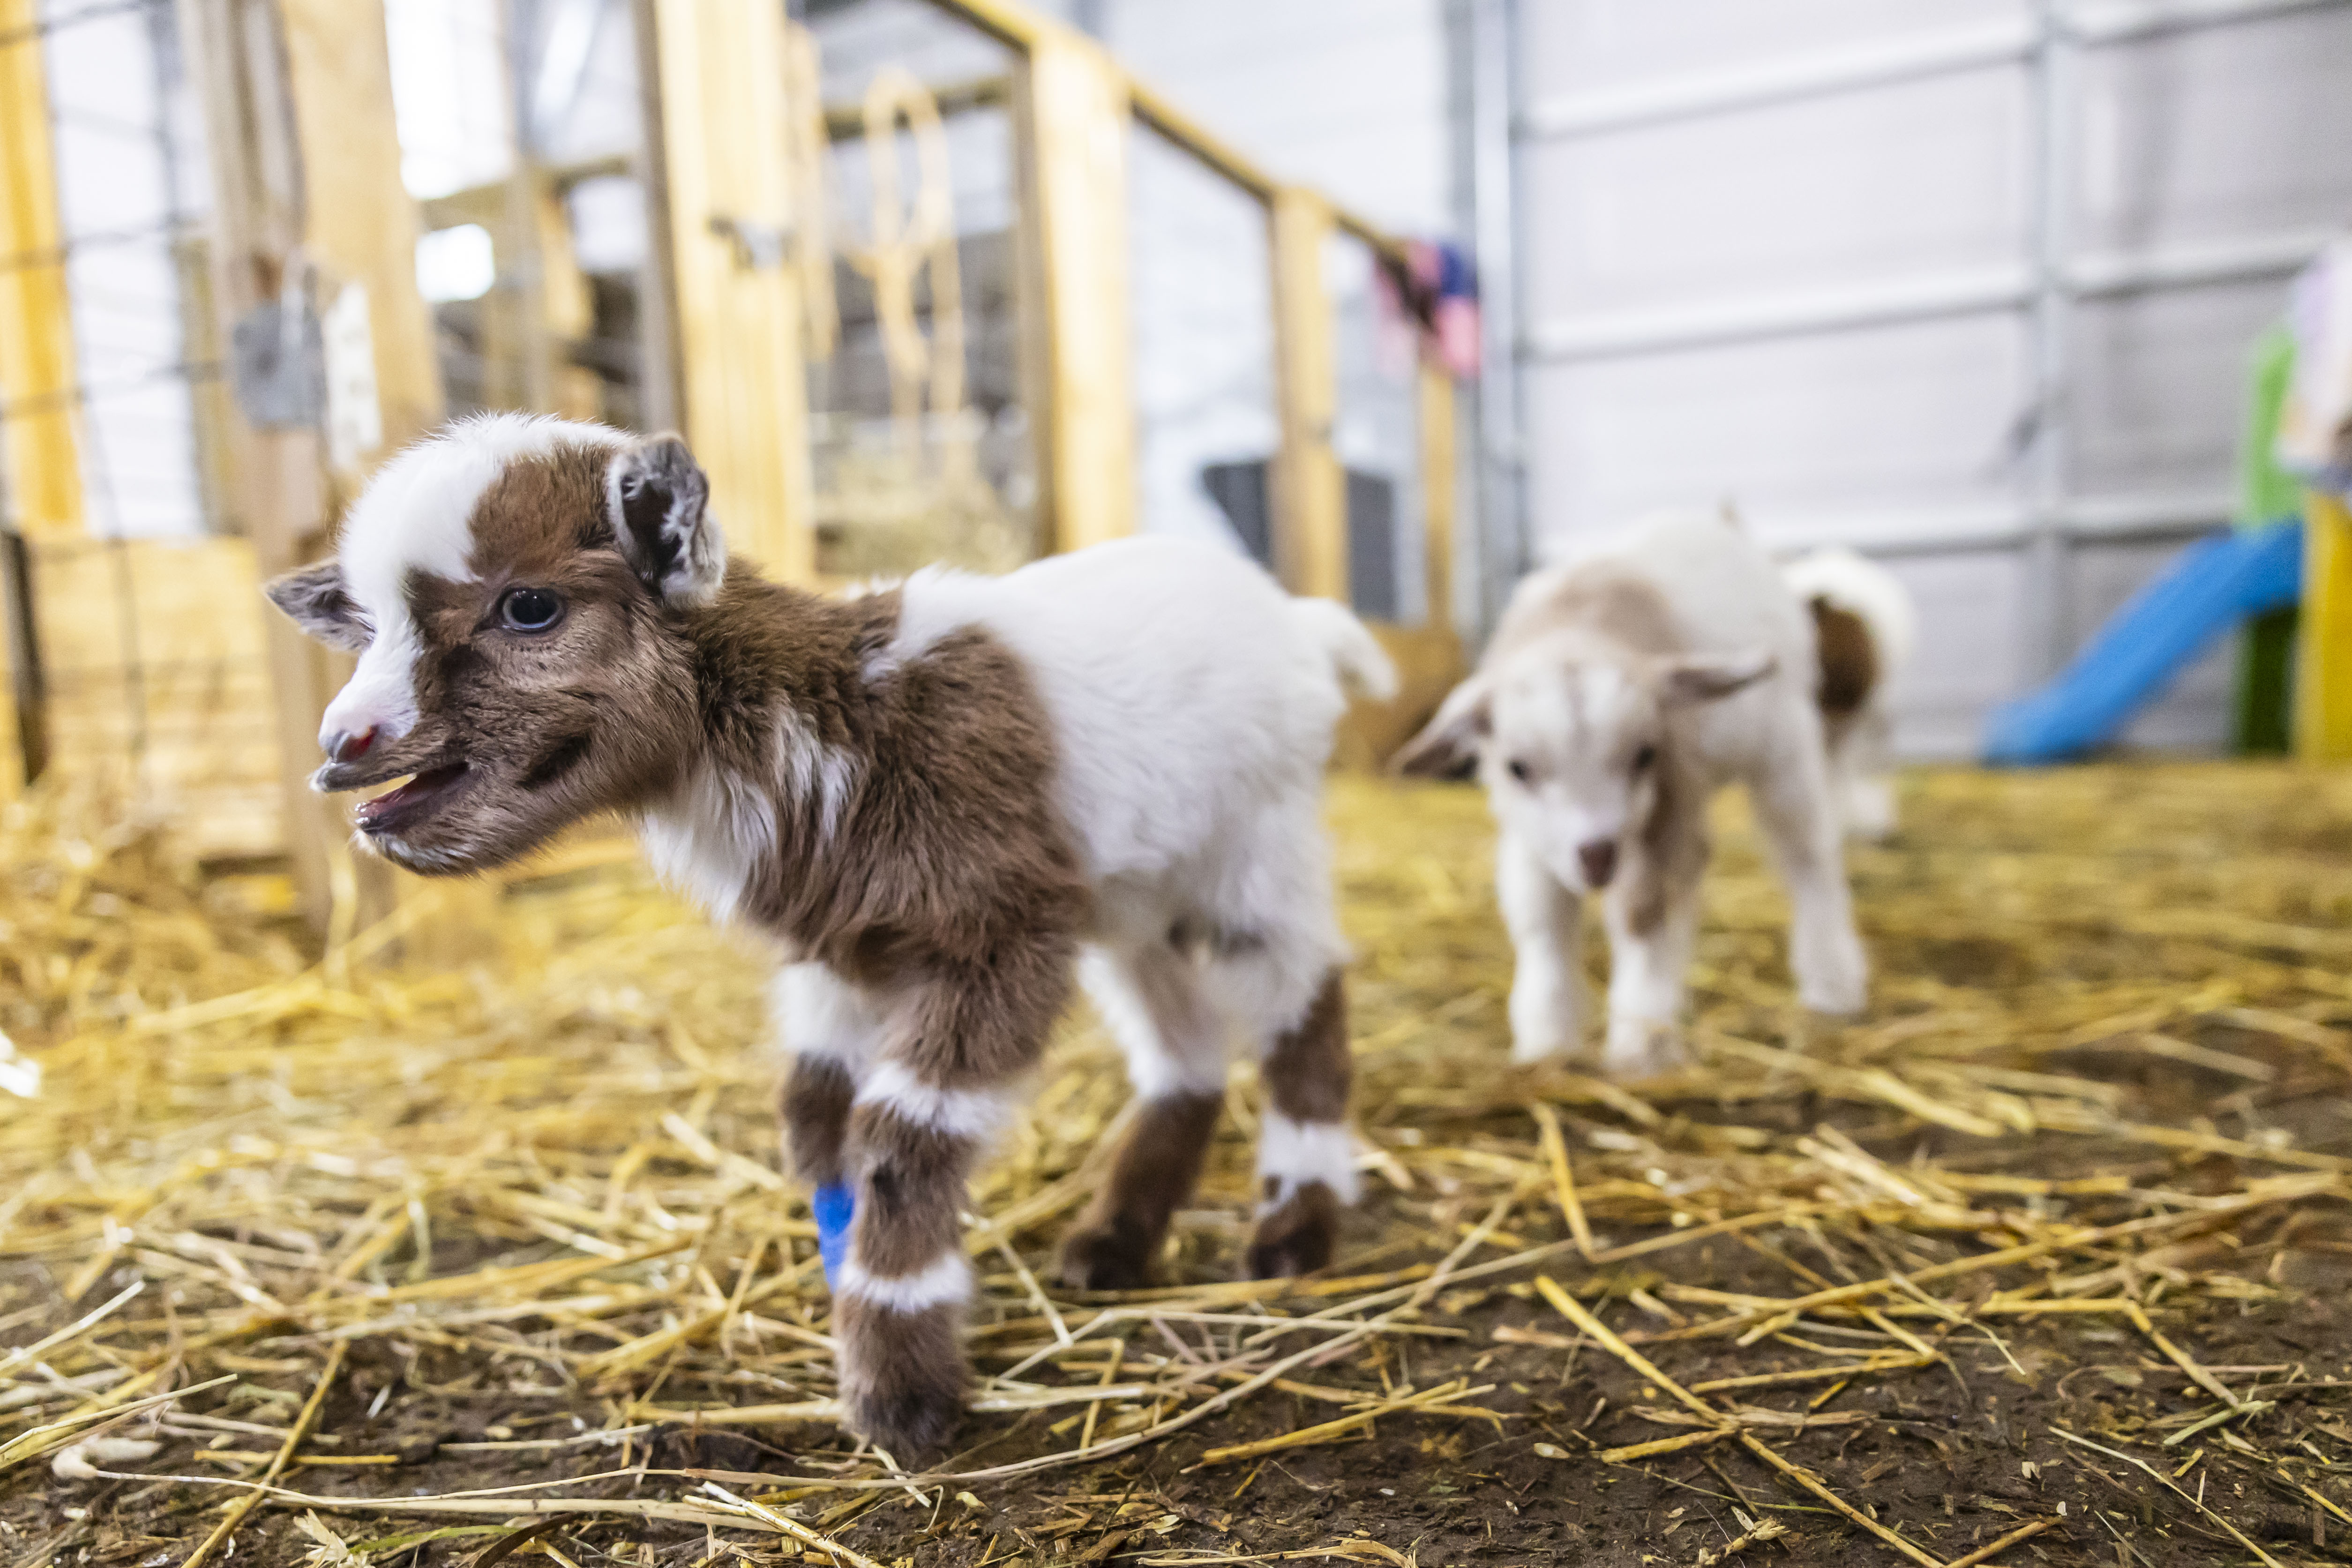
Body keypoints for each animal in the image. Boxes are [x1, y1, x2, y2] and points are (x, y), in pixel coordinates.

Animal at [264, 413, 1396, 1458]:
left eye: (530, 605)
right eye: (363, 627)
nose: (342, 743)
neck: (841, 713)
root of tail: (1297, 621)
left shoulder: (997, 933)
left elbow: (900, 1138)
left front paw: (901, 1392)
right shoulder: (845, 952)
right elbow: (815, 1118)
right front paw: (851, 1278)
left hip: (1254, 847)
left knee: (1305, 1004)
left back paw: (1292, 1231)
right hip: (1128, 896)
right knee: (1183, 1047)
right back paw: (1113, 1241)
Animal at [1395, 511, 1867, 1075]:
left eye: (1644, 754)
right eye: (1517, 768)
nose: (1597, 856)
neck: (1578, 626)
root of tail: (1717, 518)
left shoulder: (1665, 801)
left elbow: (1642, 913)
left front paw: (1641, 1045)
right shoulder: (1529, 834)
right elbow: (1540, 922)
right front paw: (1547, 1043)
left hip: (1783, 747)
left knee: (1805, 854)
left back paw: (1832, 984)